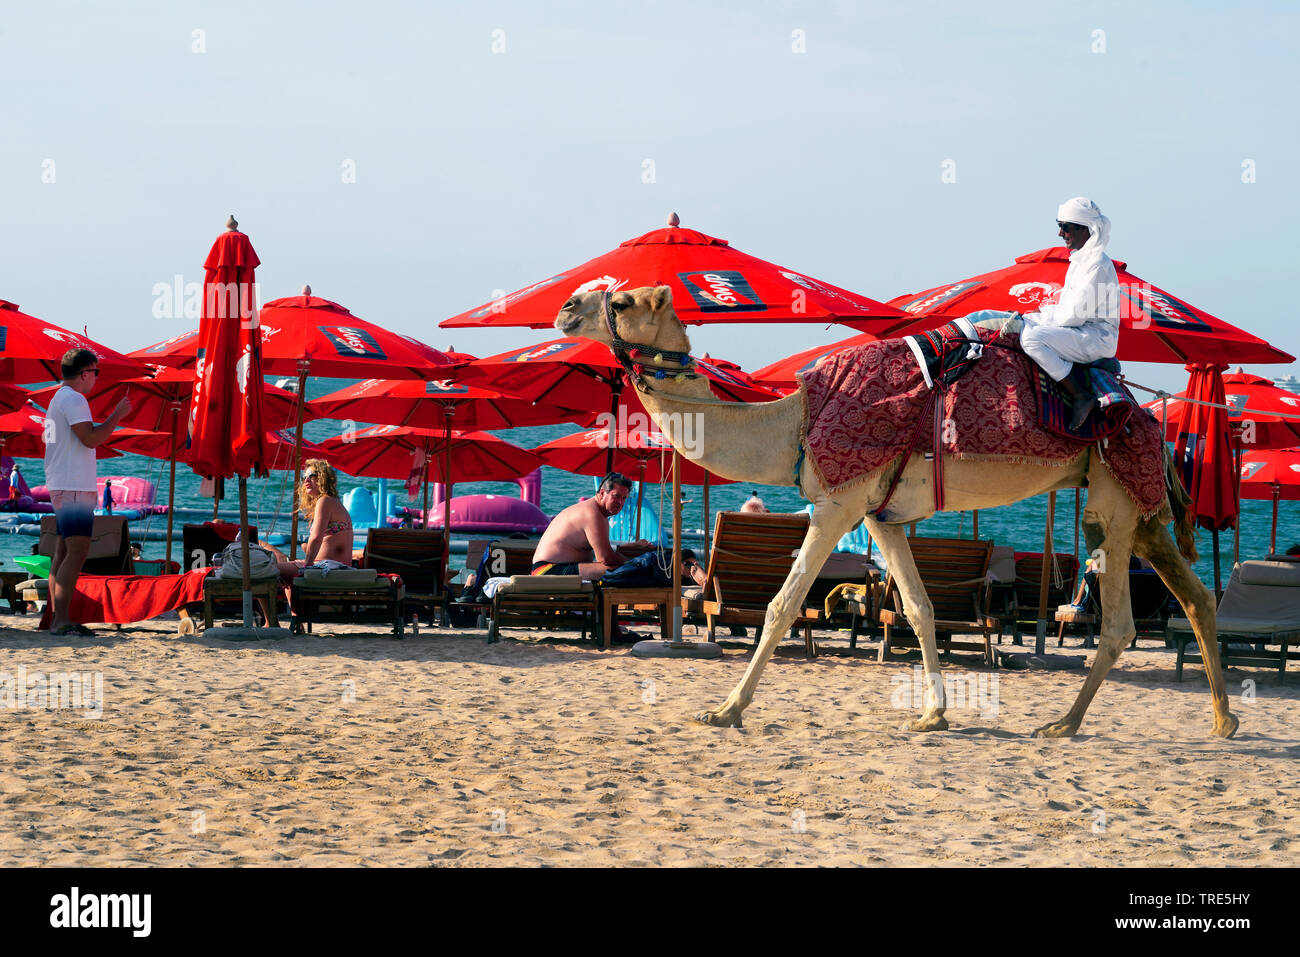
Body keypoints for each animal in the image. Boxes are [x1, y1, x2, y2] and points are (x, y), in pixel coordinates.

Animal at [556, 285, 1238, 740]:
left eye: (621, 302)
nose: (566, 306)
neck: (794, 421)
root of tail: (1152, 423)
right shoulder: (880, 514)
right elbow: (919, 607)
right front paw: (934, 714)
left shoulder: (838, 501)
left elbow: (780, 606)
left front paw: (726, 710)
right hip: (1137, 507)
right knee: (1196, 596)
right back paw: (1220, 719)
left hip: (1114, 501)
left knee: (1120, 622)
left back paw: (1066, 723)